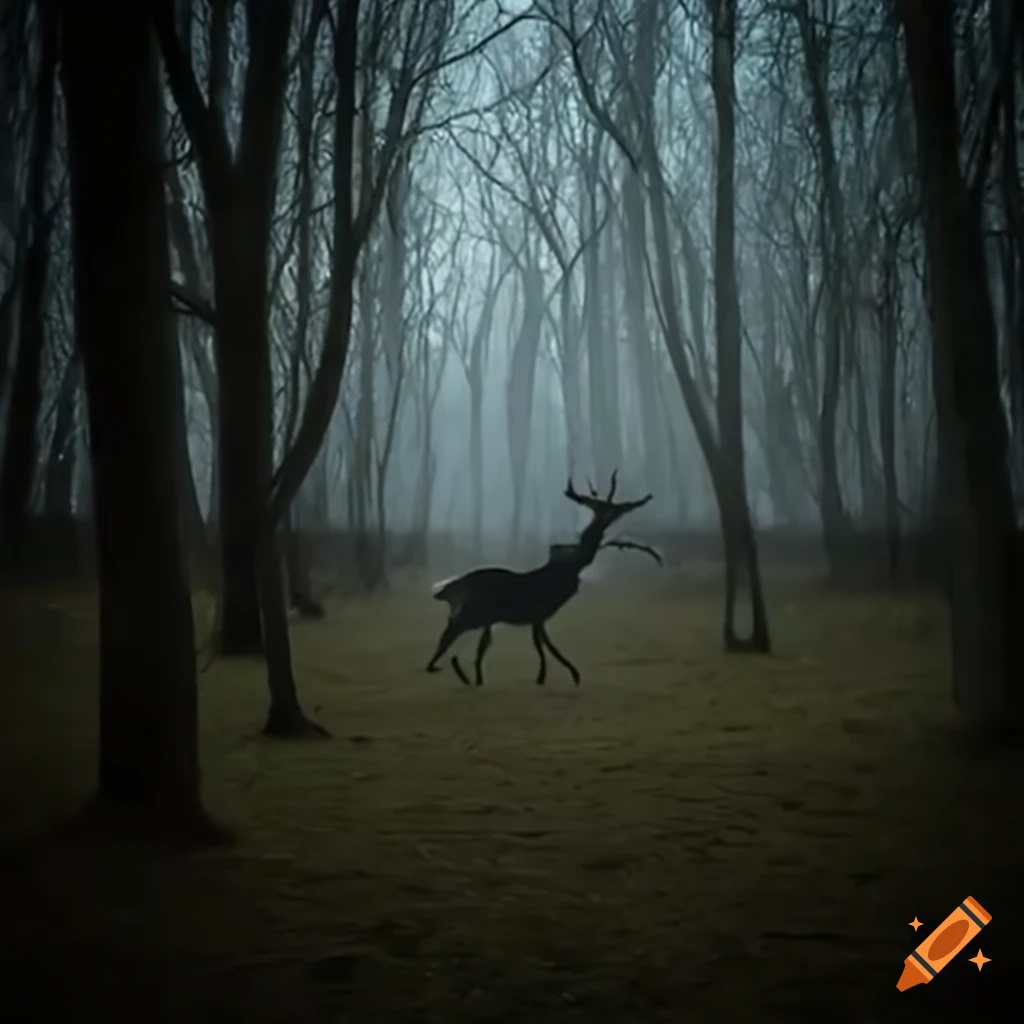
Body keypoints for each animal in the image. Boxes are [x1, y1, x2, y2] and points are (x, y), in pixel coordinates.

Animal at [425, 470, 662, 688]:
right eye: (604, 507)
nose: (625, 509)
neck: (573, 568)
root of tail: (453, 585)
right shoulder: (541, 611)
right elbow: (546, 645)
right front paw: (564, 675)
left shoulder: (538, 615)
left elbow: (541, 644)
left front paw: (550, 675)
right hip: (476, 610)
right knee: (452, 632)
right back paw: (436, 666)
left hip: (484, 616)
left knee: (473, 642)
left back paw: (468, 675)